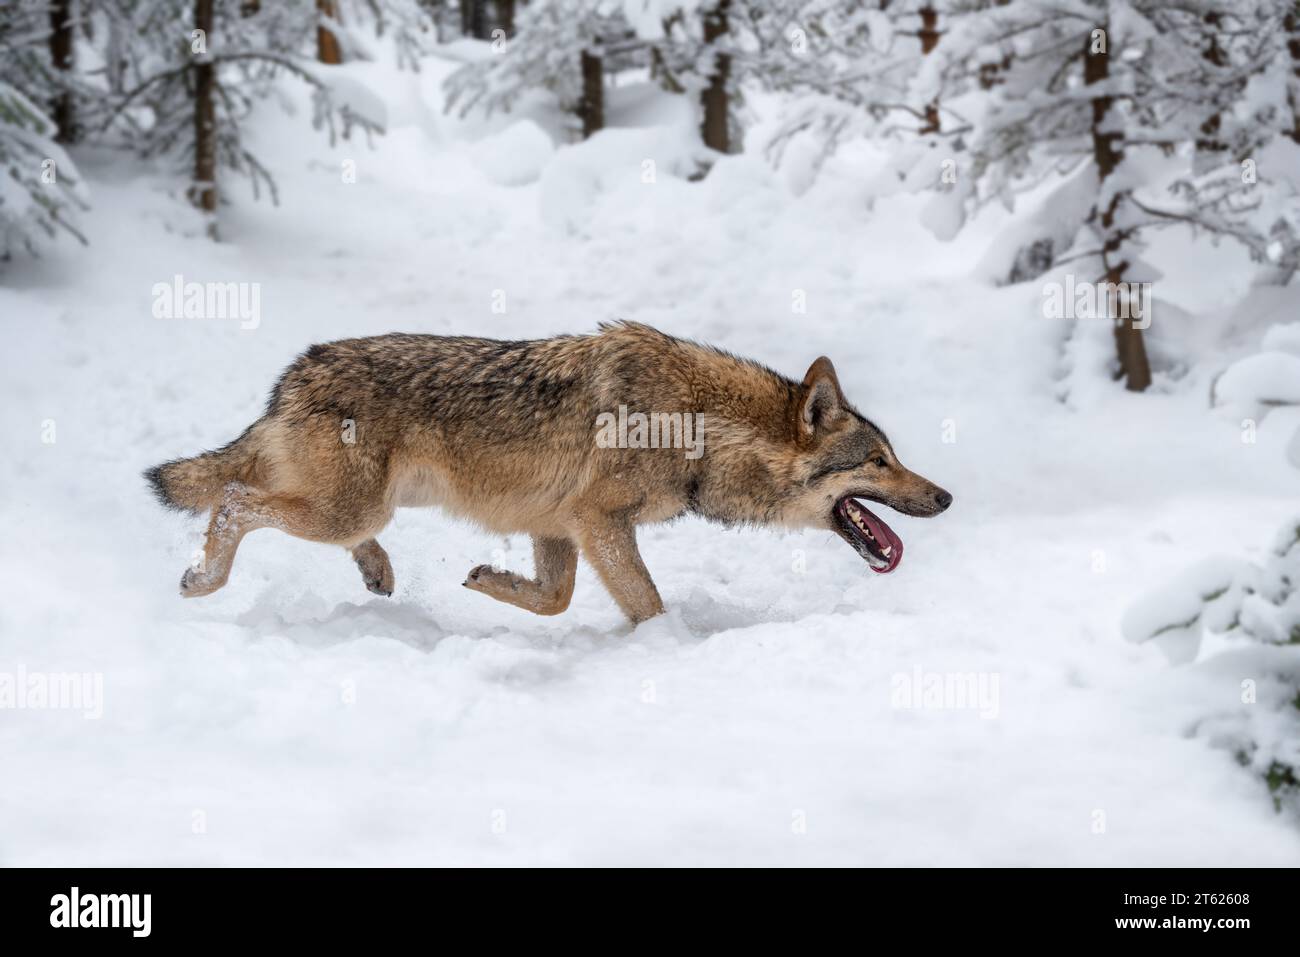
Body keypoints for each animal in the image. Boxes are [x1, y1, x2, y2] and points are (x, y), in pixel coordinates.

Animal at [145, 321, 952, 623]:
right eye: (879, 460)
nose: (945, 496)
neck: (699, 424)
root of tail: (291, 376)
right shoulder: (599, 522)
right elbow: (647, 604)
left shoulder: (556, 525)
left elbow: (554, 599)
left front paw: (487, 581)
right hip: (350, 507)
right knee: (234, 498)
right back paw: (203, 580)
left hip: (359, 509)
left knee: (272, 507)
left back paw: (378, 574)